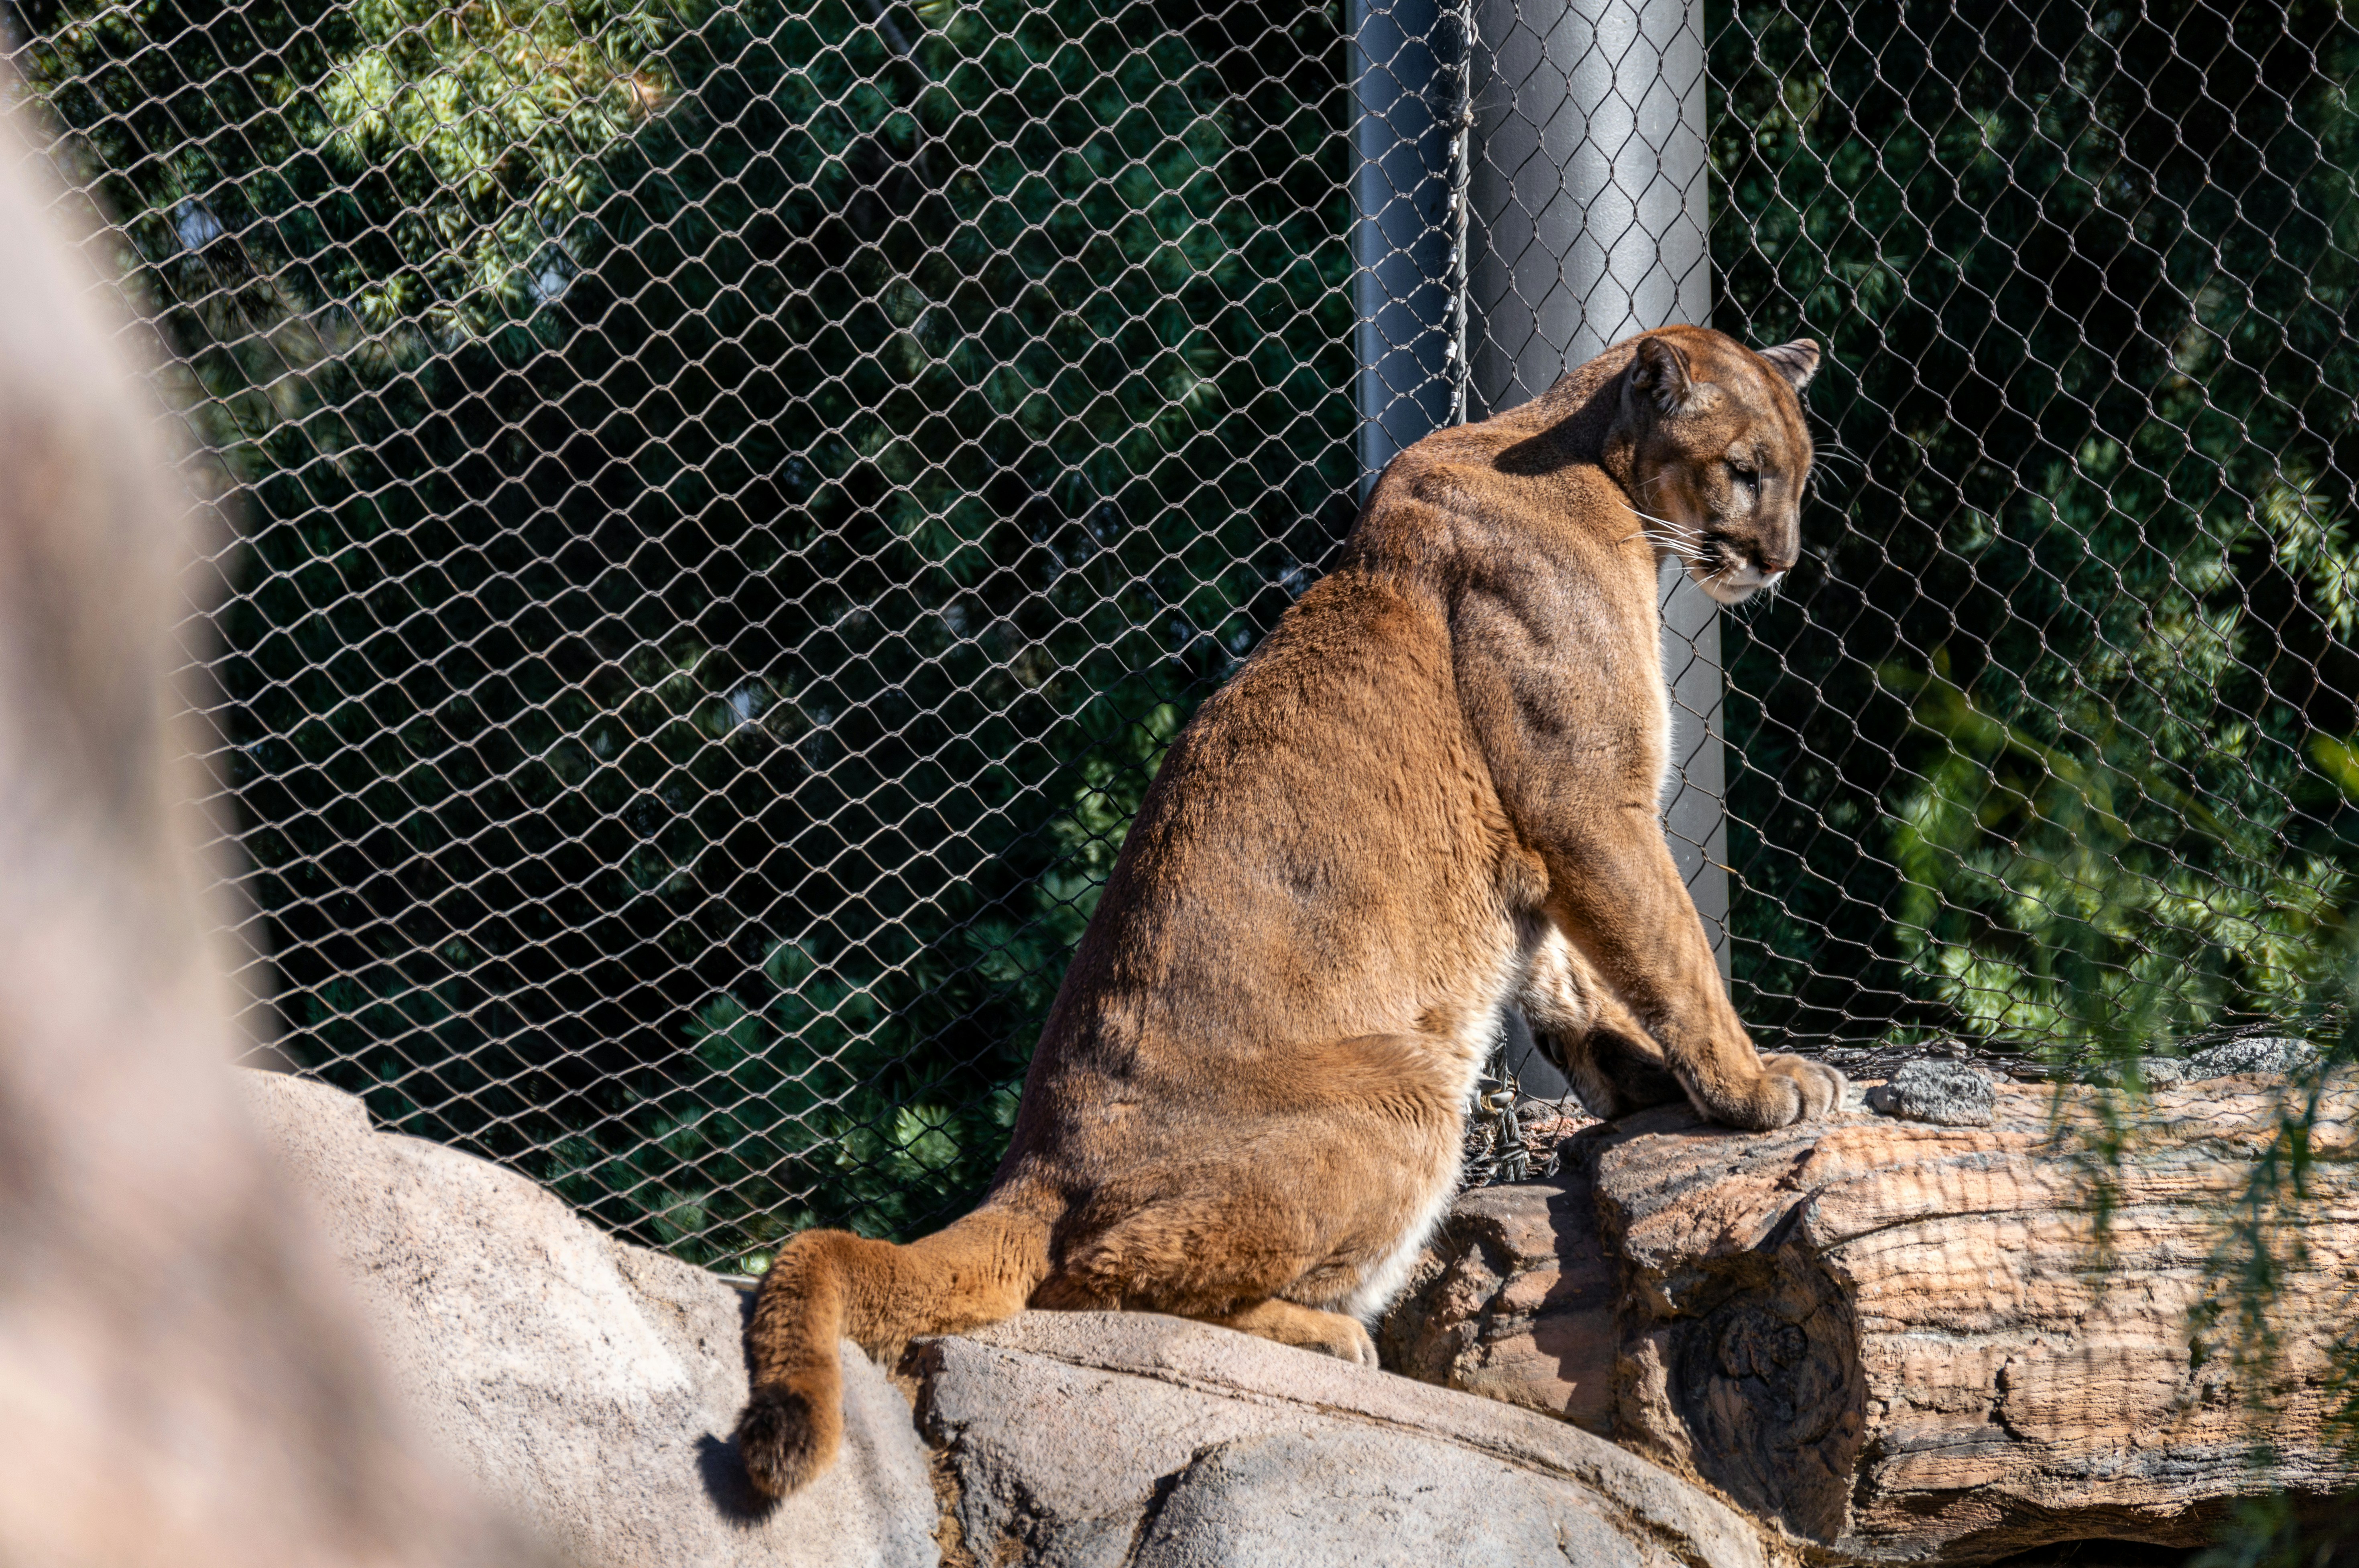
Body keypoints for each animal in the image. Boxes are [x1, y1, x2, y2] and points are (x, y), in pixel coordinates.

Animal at [737, 324, 1842, 1497]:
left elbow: (1575, 977)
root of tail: (1030, 1167)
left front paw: (1643, 1081)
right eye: (1743, 470)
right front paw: (1752, 1087)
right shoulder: (1586, 801)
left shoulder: (1547, 843)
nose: (1780, 560)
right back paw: (1326, 1334)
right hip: (1403, 1093)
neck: (1584, 462)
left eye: (1799, 475)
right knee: (1084, 1282)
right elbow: (1669, 950)